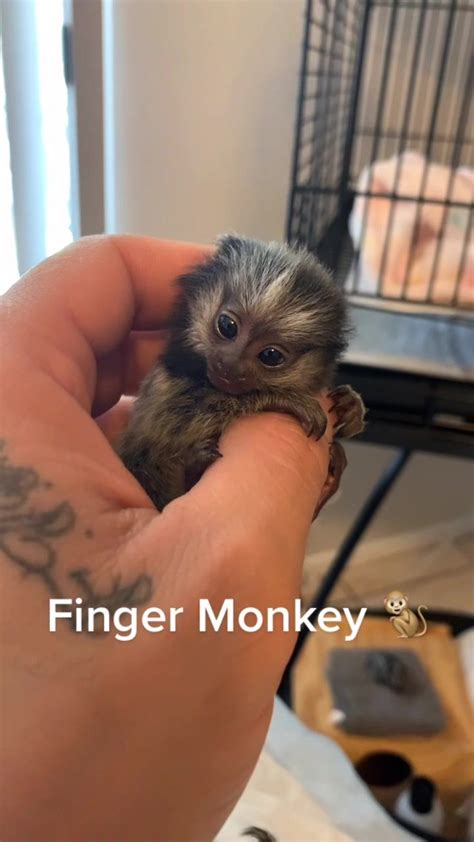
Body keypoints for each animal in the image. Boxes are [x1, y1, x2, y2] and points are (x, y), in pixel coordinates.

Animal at [117, 234, 366, 512]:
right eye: (227, 326)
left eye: (271, 356)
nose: (229, 364)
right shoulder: (166, 383)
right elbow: (177, 416)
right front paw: (284, 399)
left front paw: (350, 406)